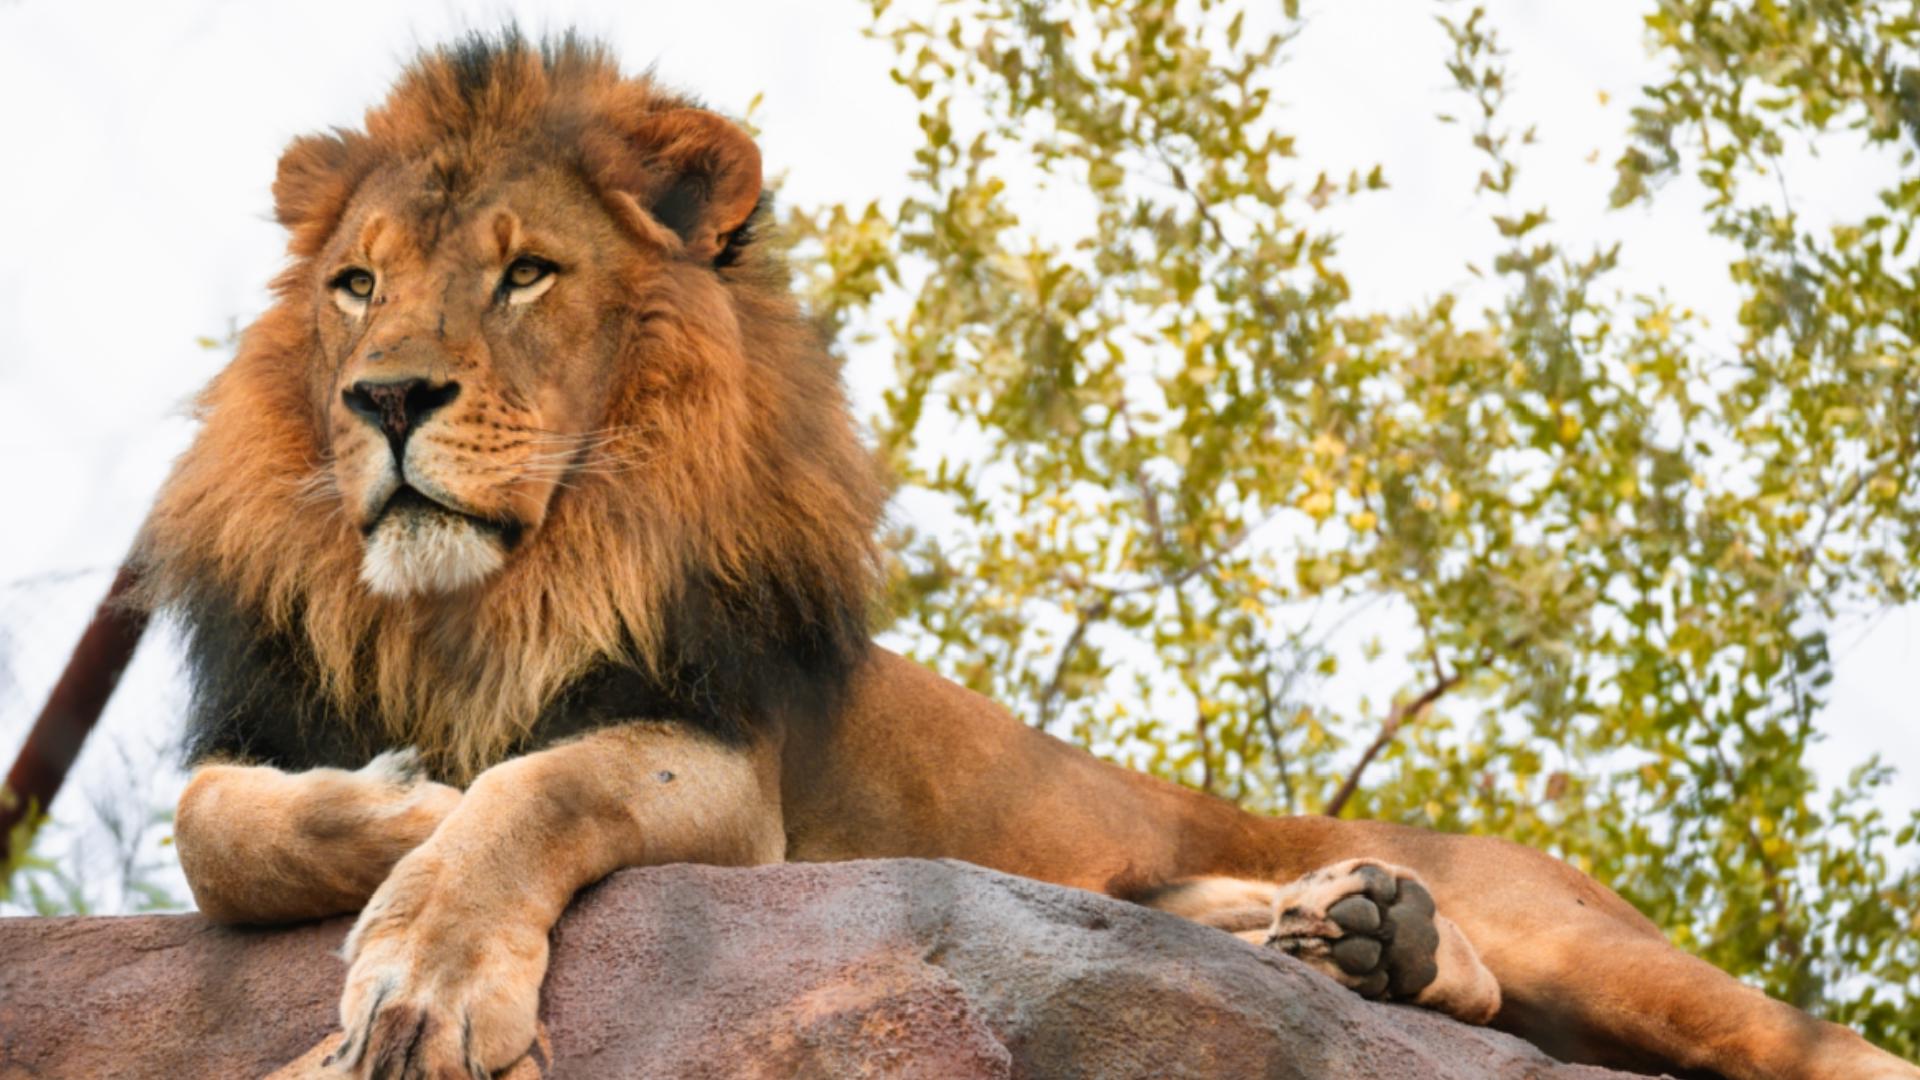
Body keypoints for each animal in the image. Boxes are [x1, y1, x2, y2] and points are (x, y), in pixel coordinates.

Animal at [132, 31, 1915, 1080]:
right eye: (357, 284)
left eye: (525, 275)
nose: (384, 401)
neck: (485, 599)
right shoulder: (267, 725)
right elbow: (213, 826)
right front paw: (389, 809)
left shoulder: (728, 768)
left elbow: (528, 794)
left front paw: (424, 970)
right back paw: (1351, 935)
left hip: (1633, 965)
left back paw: (1380, 927)